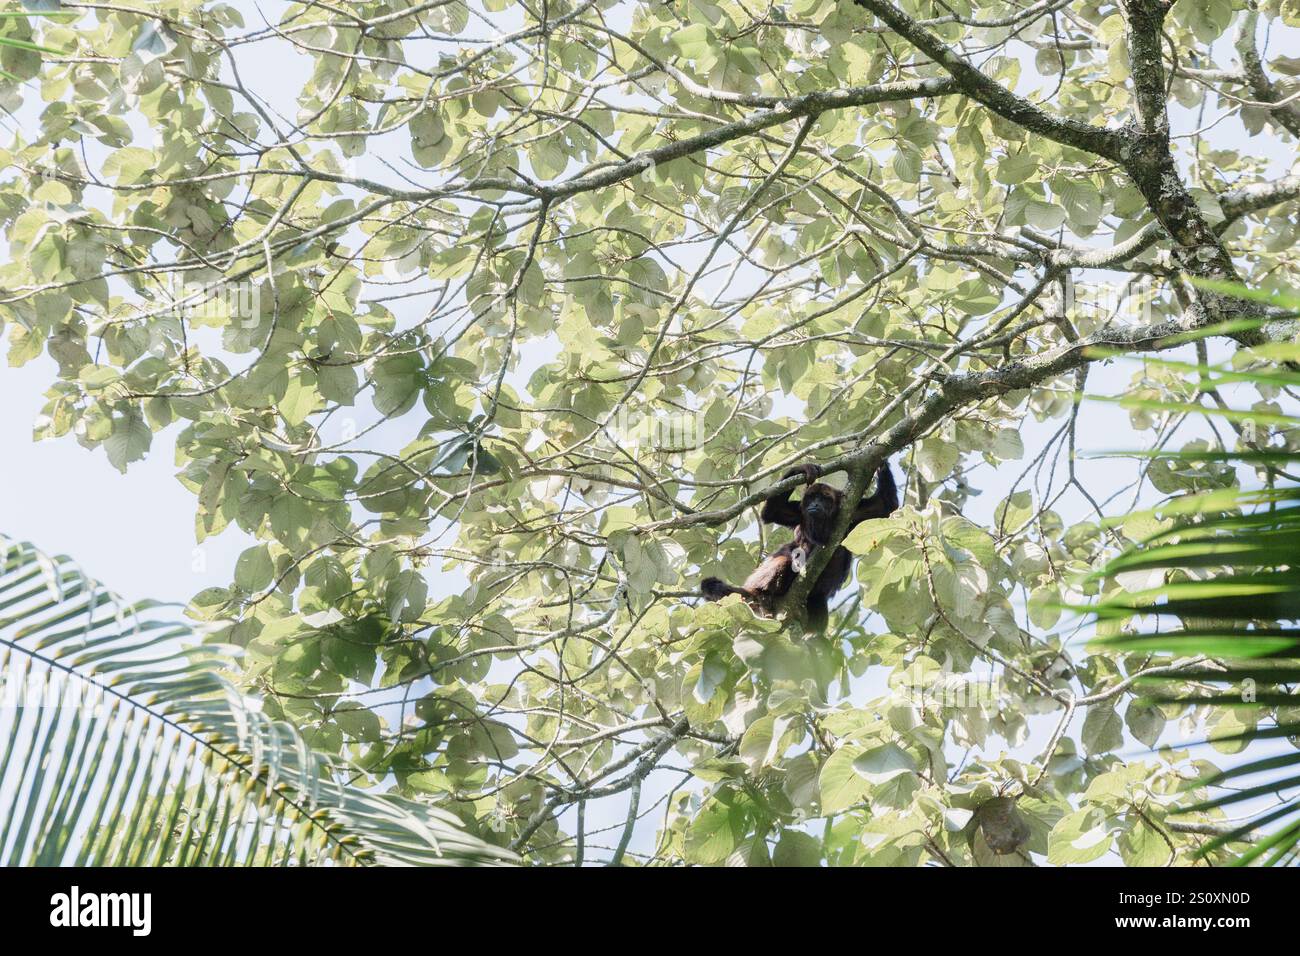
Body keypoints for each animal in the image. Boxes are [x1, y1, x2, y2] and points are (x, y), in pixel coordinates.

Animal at [700, 460, 899, 633]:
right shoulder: (798, 513)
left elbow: (885, 505)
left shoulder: (855, 511)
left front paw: (880, 458)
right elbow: (772, 512)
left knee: (818, 605)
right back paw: (761, 595)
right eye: (811, 498)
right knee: (784, 559)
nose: (815, 505)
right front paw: (803, 468)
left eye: (824, 498)